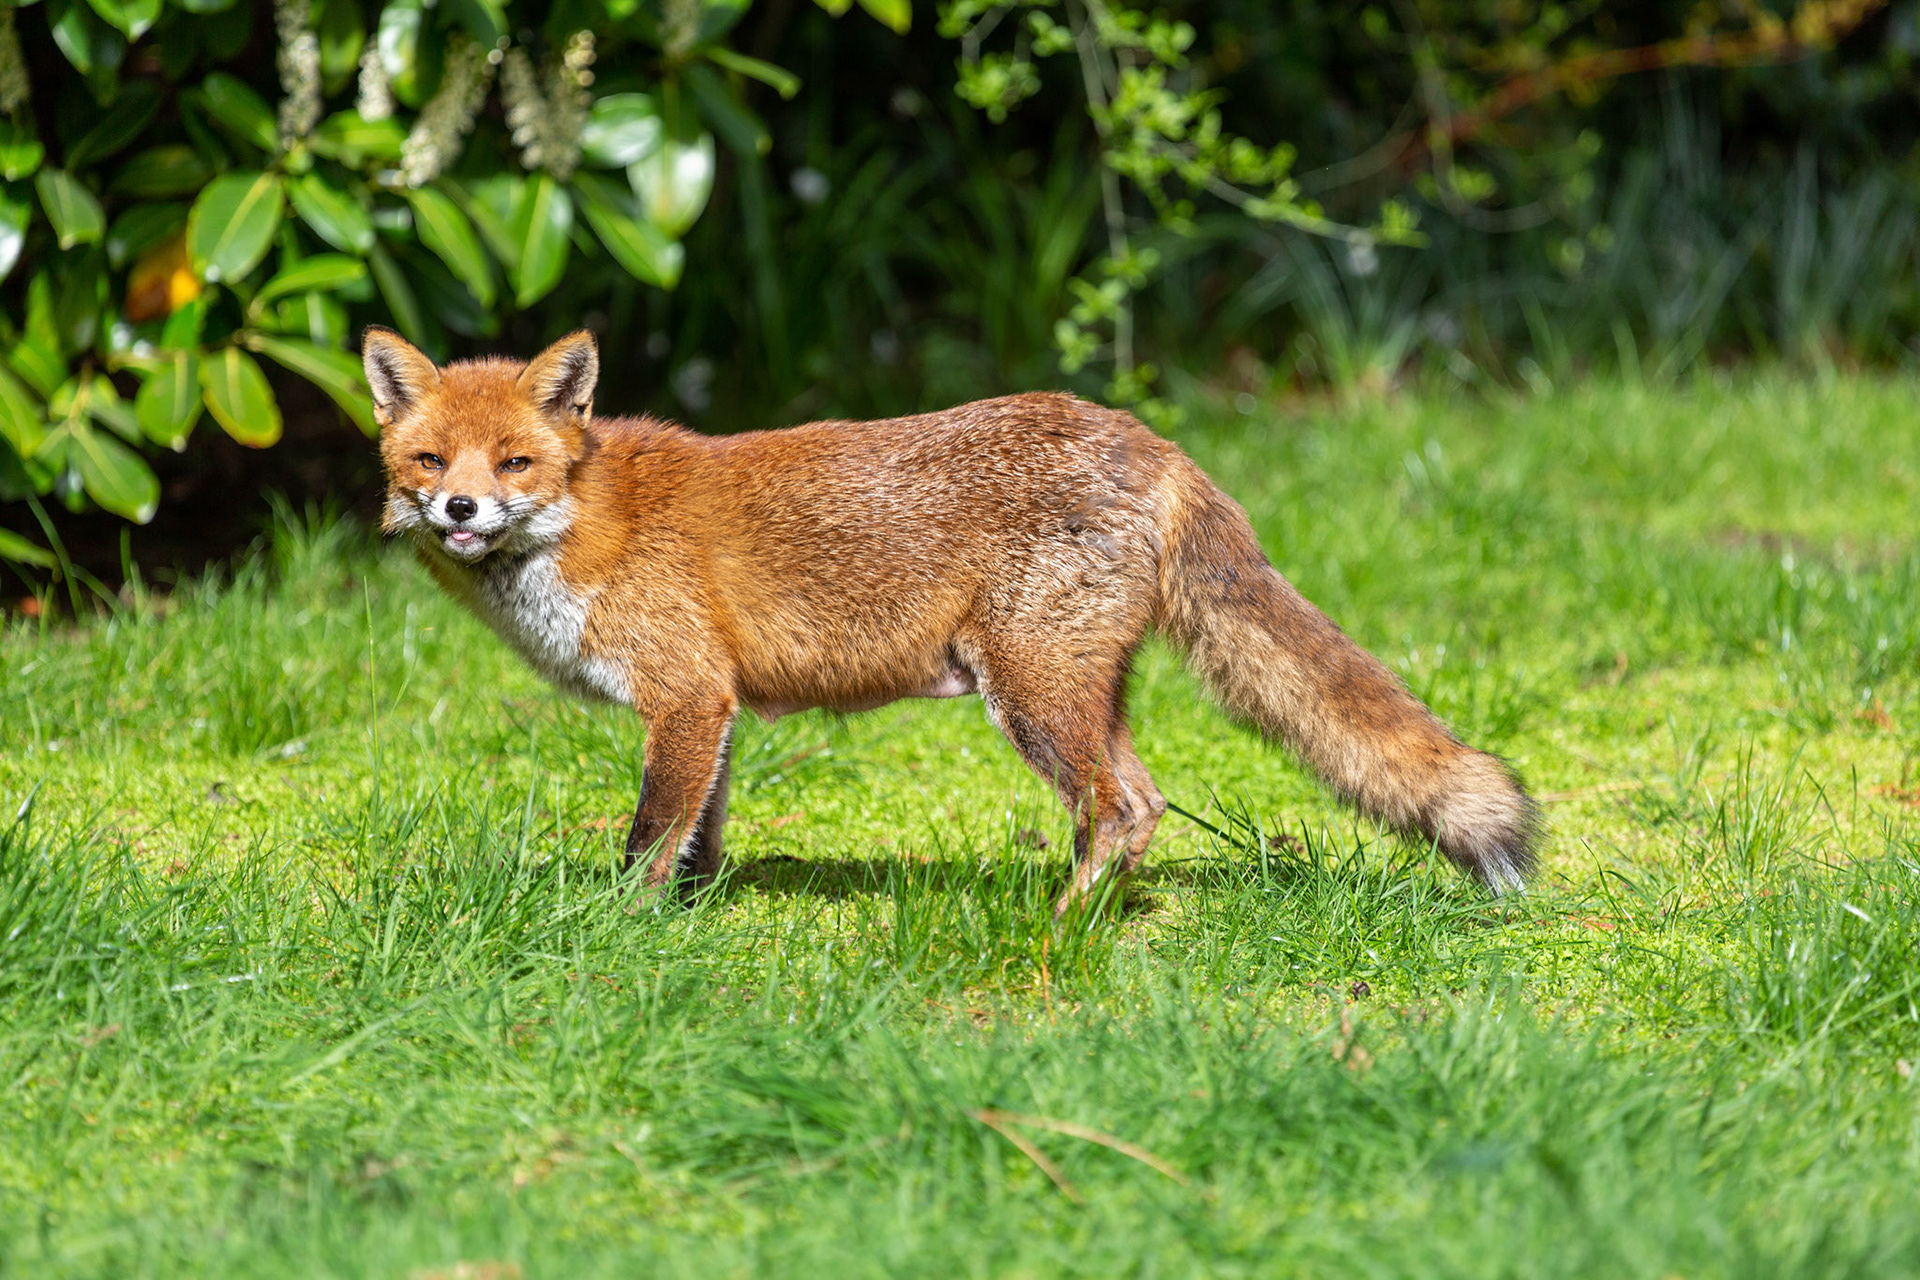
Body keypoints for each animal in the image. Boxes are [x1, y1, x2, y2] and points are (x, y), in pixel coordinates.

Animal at [364, 326, 1539, 913]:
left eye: (514, 463)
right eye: (430, 461)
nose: (460, 509)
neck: (583, 522)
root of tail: (1146, 437)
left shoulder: (686, 696)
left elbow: (650, 837)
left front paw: (615, 939)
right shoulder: (717, 706)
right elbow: (698, 840)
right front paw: (692, 927)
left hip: (1029, 695)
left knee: (1118, 808)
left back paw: (1057, 933)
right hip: (1079, 692)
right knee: (1147, 802)